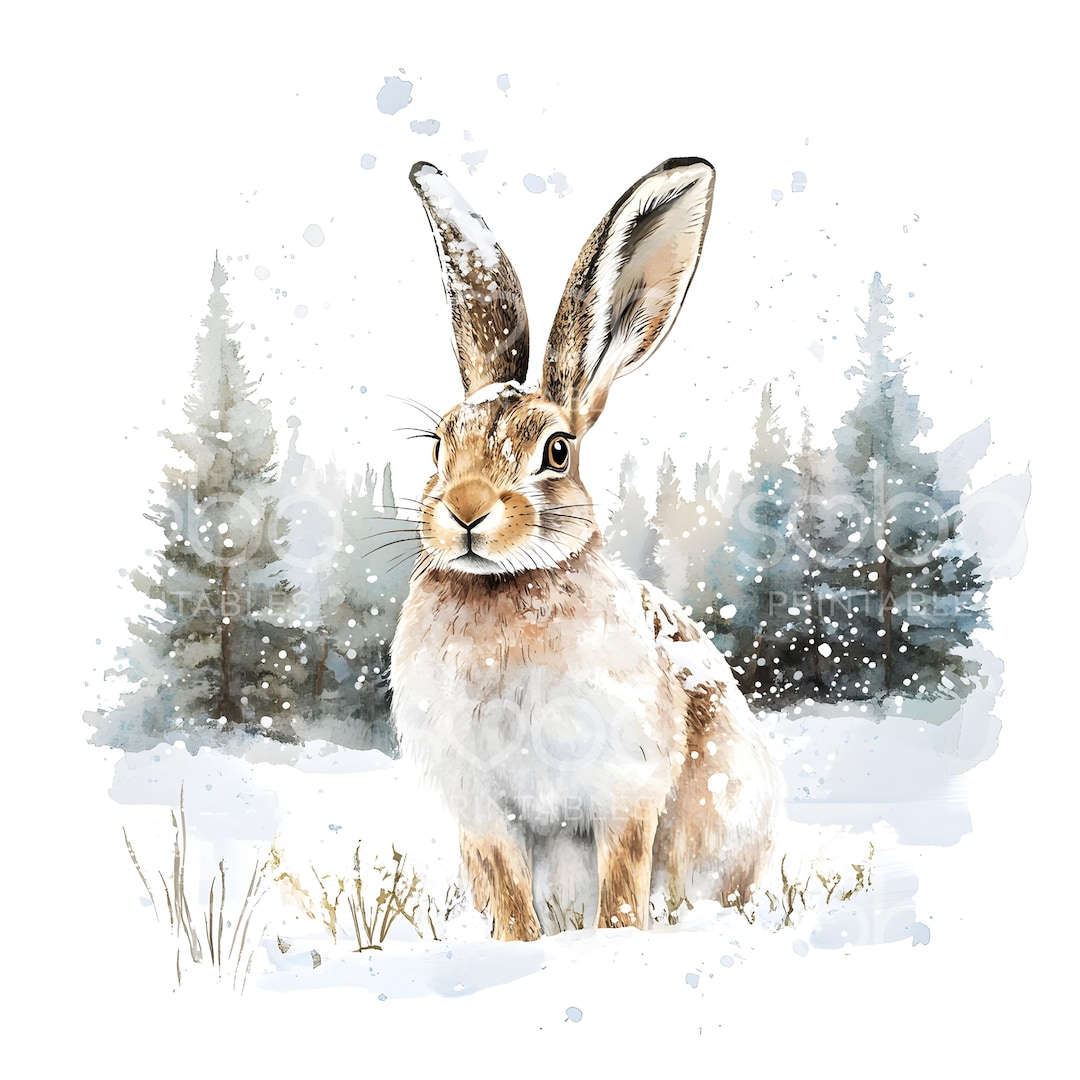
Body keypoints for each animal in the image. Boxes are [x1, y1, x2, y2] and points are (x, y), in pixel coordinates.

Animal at [390, 157, 782, 941]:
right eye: (439, 445)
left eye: (557, 451)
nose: (466, 511)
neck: (506, 587)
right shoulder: (483, 808)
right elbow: (511, 892)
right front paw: (516, 946)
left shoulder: (625, 788)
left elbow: (622, 882)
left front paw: (617, 942)